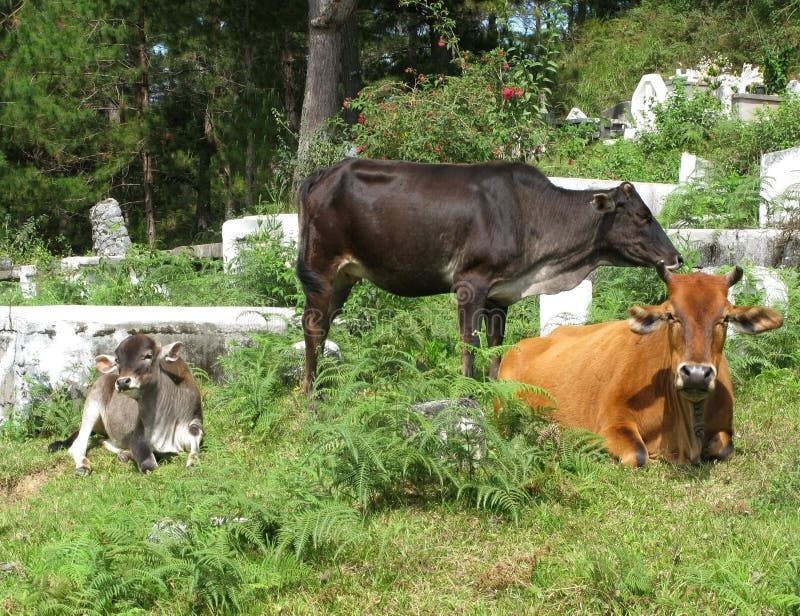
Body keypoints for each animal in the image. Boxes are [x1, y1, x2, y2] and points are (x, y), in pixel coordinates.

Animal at [48, 334, 203, 475]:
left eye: (148, 355)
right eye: (117, 360)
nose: (122, 382)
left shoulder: (195, 421)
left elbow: (195, 438)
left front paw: (192, 463)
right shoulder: (137, 437)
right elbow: (149, 465)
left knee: (103, 441)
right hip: (92, 404)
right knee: (78, 443)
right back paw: (83, 466)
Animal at [296, 158, 682, 394]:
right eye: (641, 216)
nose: (675, 257)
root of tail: (324, 173)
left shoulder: (501, 294)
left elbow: (497, 344)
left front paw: (497, 386)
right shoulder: (470, 283)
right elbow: (470, 342)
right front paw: (467, 391)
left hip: (345, 276)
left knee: (324, 323)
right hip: (321, 267)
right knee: (312, 324)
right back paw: (312, 392)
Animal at [497, 263, 783, 467]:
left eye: (724, 319)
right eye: (671, 316)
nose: (696, 374)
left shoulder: (724, 429)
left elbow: (724, 448)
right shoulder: (613, 422)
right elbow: (638, 455)